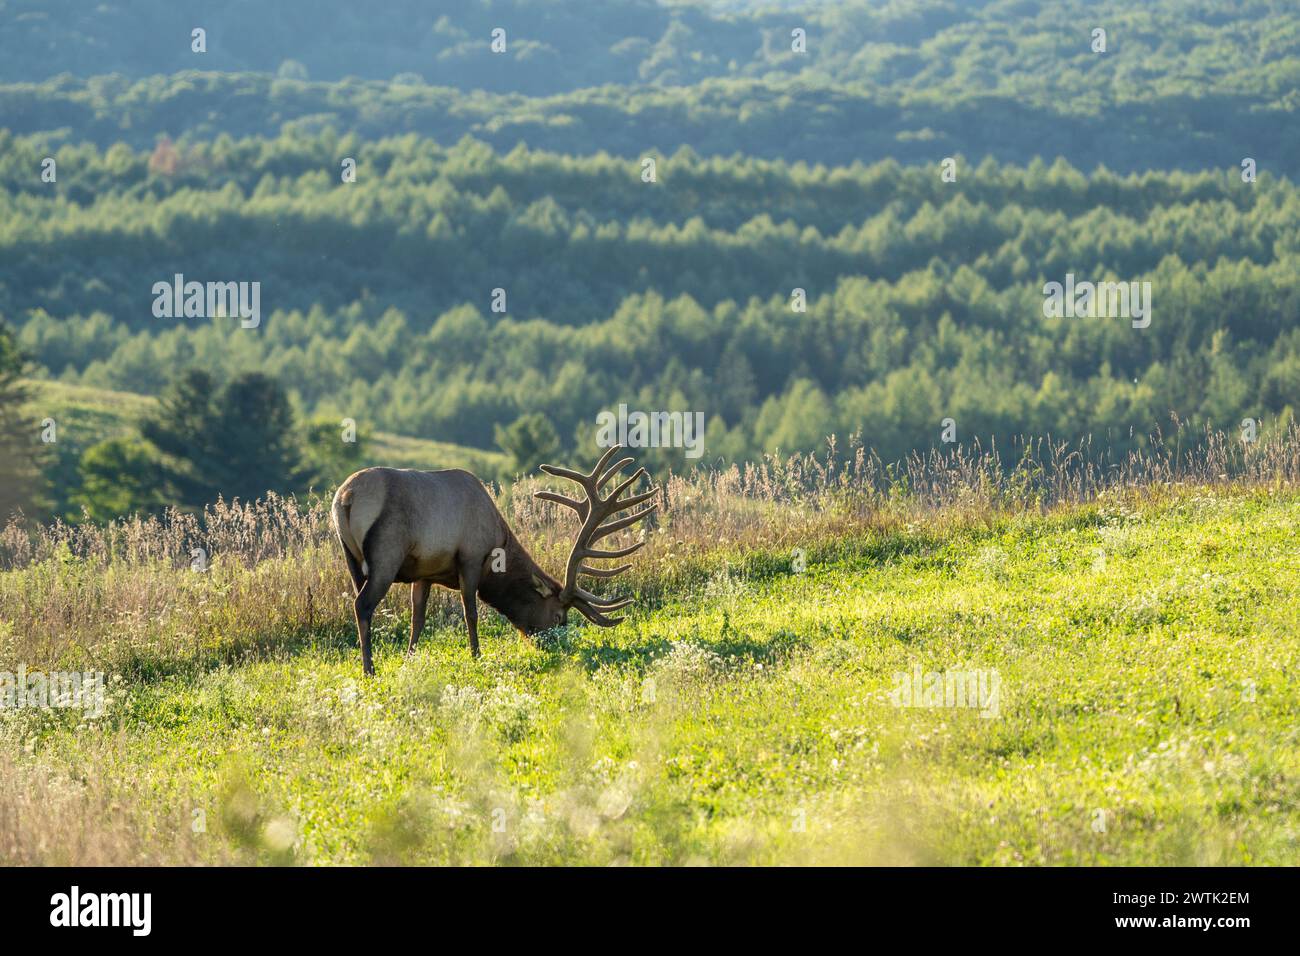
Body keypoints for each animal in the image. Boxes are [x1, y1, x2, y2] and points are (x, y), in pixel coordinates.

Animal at [330, 445, 657, 675]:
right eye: (557, 617)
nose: (558, 648)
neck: (499, 539)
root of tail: (346, 498)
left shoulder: (425, 571)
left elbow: (417, 619)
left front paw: (411, 659)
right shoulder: (471, 556)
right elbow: (471, 612)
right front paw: (477, 655)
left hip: (351, 558)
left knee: (359, 603)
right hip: (386, 554)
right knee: (362, 604)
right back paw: (369, 669)